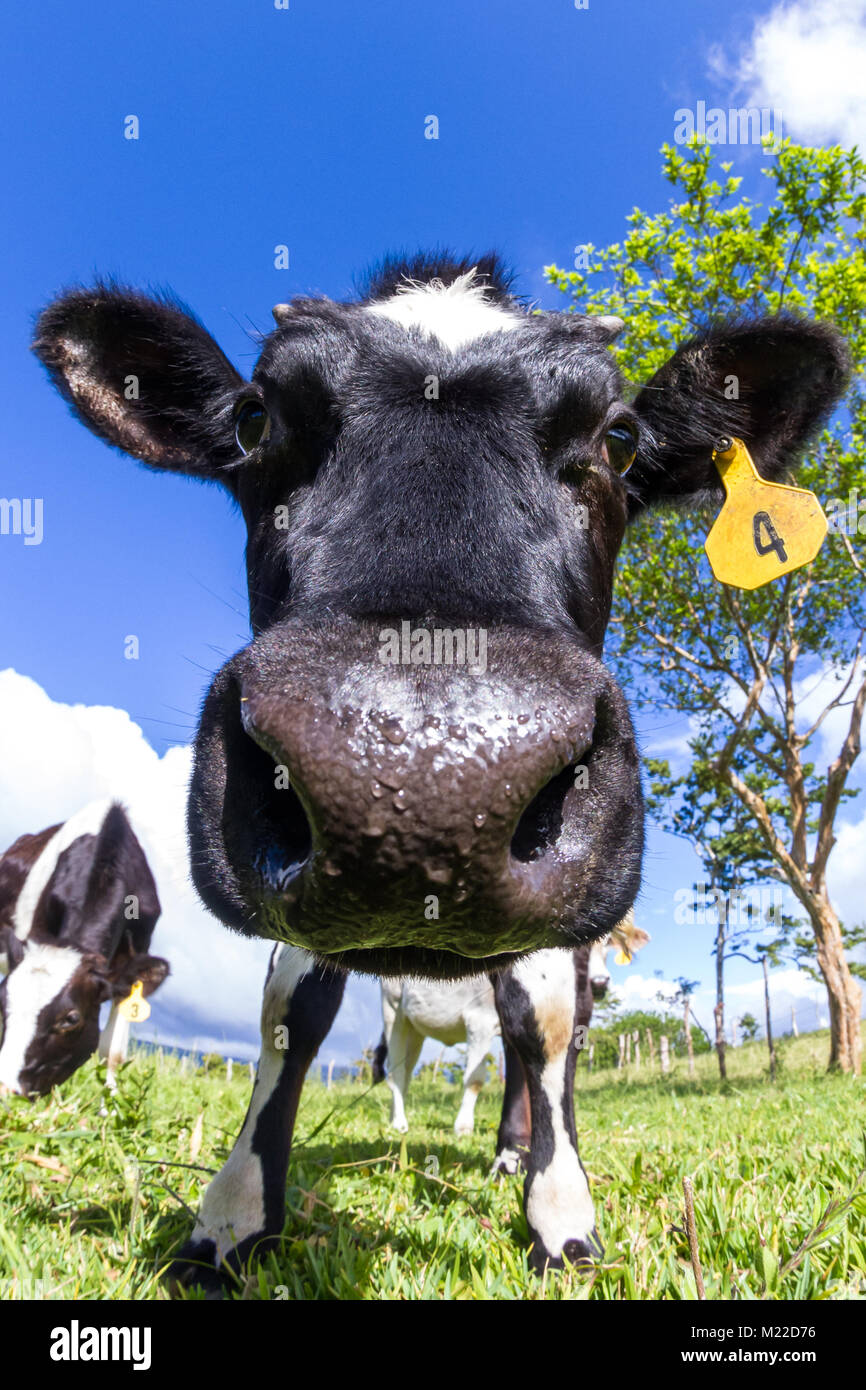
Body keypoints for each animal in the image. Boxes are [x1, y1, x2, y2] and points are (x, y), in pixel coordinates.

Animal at [373, 914, 650, 1138]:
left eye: (606, 944)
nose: (600, 983)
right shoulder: (478, 1021)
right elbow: (475, 1078)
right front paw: (463, 1127)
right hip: (393, 1011)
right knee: (395, 1070)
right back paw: (399, 1123)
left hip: (415, 1030)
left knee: (406, 1071)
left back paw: (393, 1116)